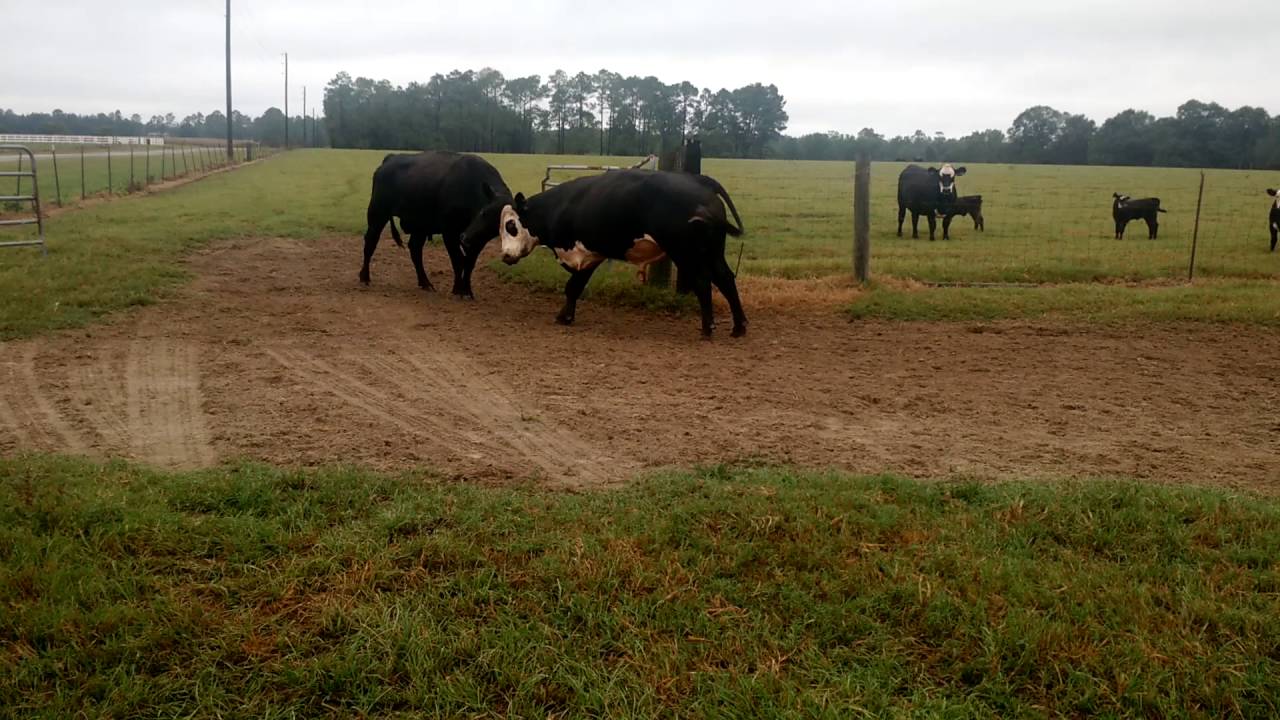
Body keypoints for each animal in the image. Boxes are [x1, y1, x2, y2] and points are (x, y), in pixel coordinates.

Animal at [361, 151, 512, 299]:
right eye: (483, 212)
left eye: (501, 227)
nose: (466, 239)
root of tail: (390, 158)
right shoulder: (450, 232)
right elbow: (458, 260)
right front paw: (458, 289)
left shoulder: (476, 241)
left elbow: (469, 263)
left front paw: (468, 291)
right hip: (377, 215)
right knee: (370, 242)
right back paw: (364, 277)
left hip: (420, 226)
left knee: (415, 249)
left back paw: (425, 283)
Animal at [460, 169, 748, 338]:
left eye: (511, 225)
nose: (505, 255)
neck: (560, 207)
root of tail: (699, 180)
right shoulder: (590, 257)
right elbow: (574, 288)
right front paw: (566, 315)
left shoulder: (584, 254)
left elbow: (572, 287)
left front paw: (563, 316)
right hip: (712, 251)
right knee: (725, 278)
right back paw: (738, 326)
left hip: (685, 252)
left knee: (703, 282)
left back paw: (708, 327)